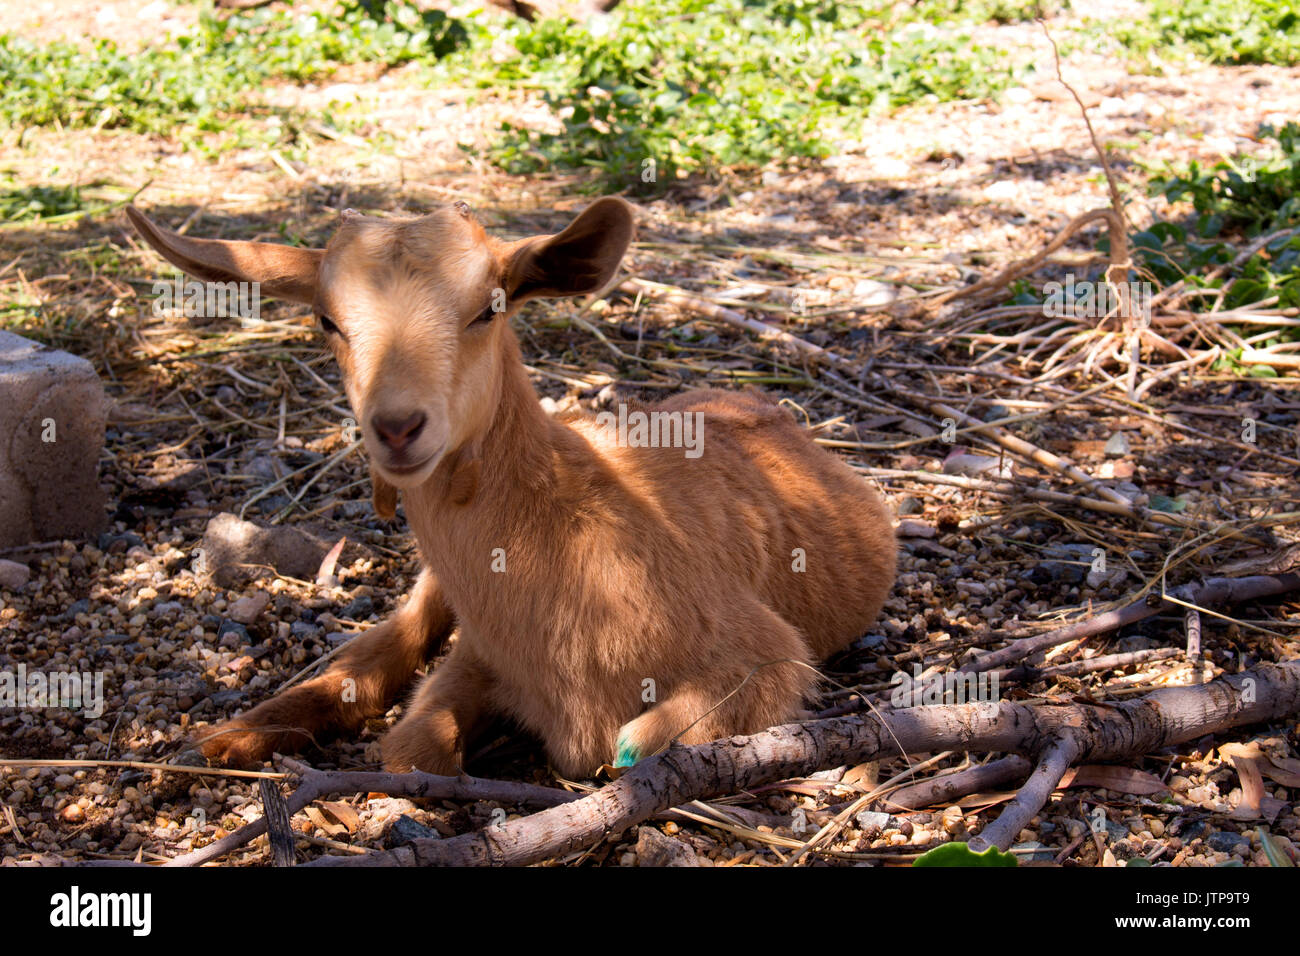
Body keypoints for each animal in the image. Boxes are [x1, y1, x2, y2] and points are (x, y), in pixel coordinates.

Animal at [126, 199, 897, 777]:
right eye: (327, 319)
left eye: (487, 309)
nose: (397, 426)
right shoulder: (481, 643)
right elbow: (411, 749)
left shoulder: (767, 651)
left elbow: (634, 745)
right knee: (393, 635)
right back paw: (231, 735)